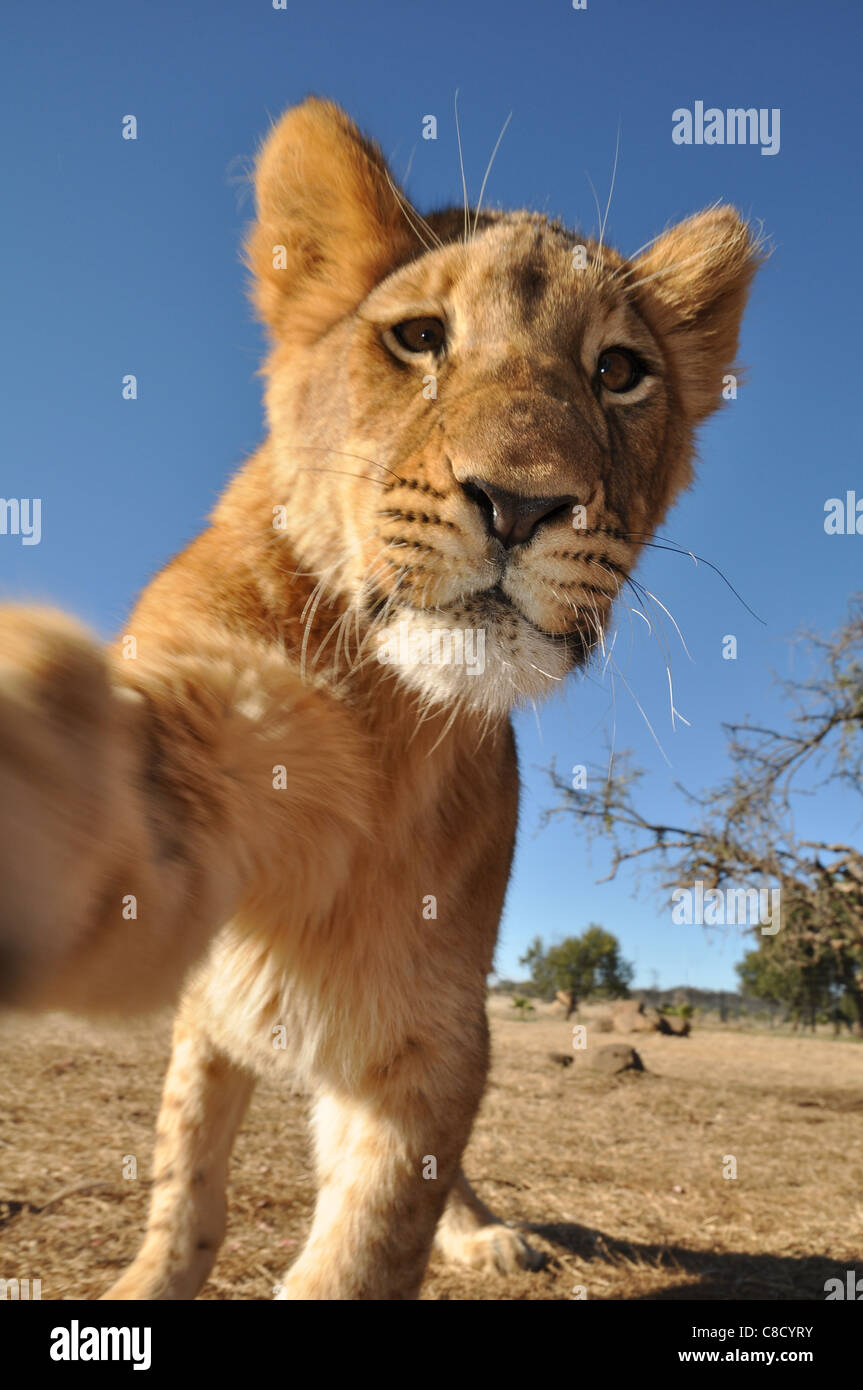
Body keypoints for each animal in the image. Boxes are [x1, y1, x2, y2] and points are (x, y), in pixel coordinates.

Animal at [0, 98, 762, 1299]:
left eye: (619, 370)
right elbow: (187, 1179)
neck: (390, 715)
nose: (521, 503)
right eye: (417, 338)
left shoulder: (426, 1040)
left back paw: (486, 1232)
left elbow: (366, 1239)